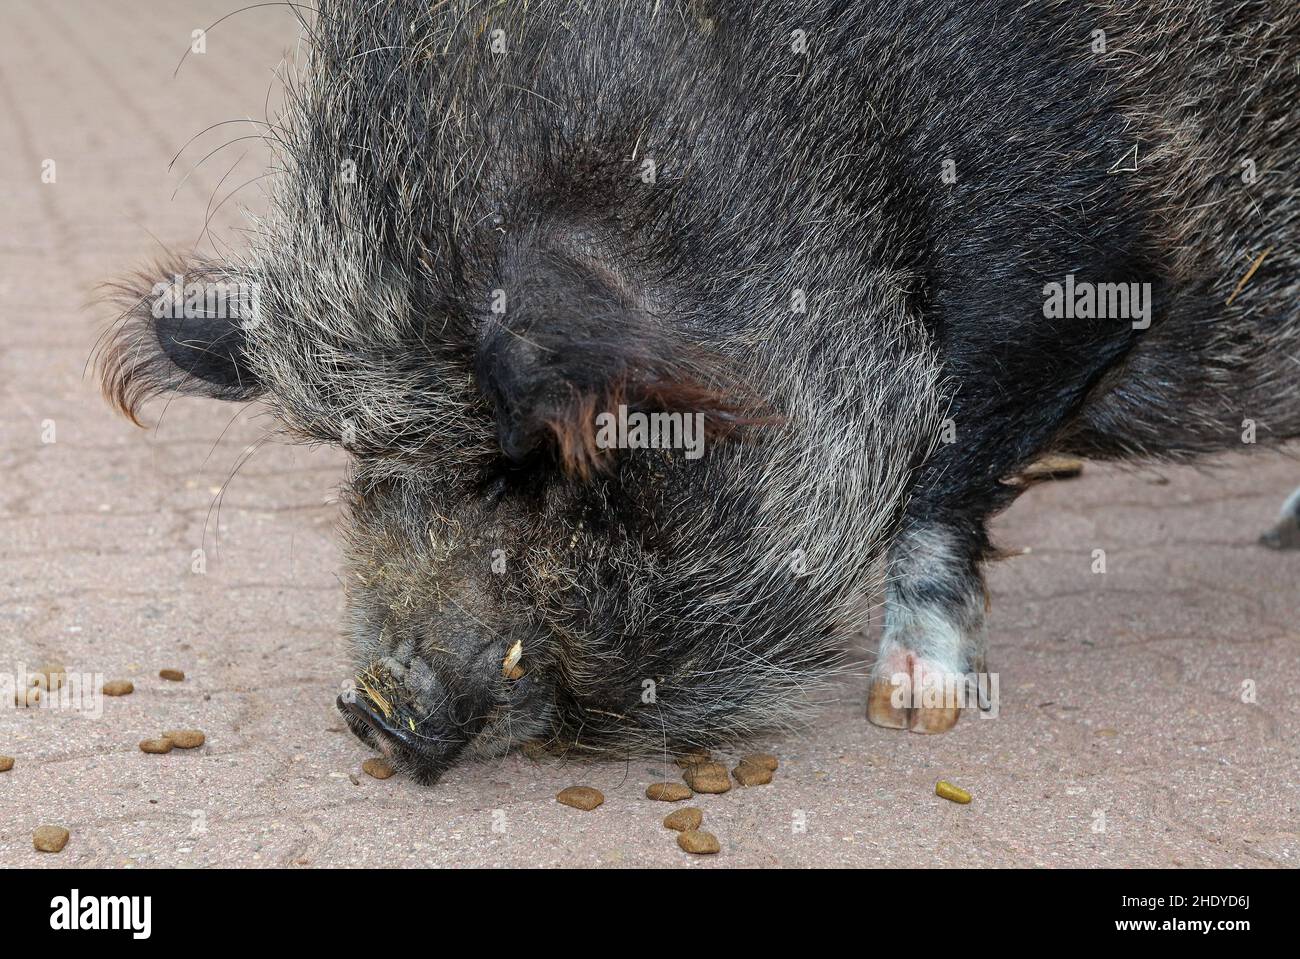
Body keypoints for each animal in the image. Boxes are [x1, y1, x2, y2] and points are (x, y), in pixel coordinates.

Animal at [98, 0, 1299, 781]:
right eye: (367, 456)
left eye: (540, 453)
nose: (370, 706)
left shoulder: (1075, 274)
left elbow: (945, 483)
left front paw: (914, 715)